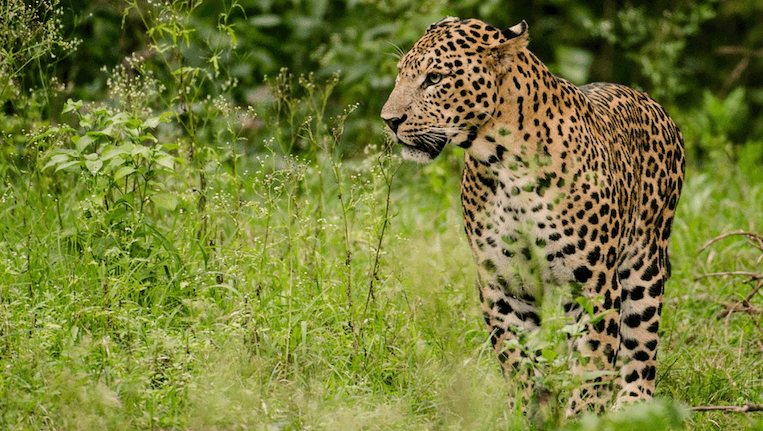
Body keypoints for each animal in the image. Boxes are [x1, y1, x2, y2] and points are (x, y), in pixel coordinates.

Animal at [381, 16, 685, 414]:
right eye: (401, 74)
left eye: (434, 78)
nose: (389, 120)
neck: (503, 163)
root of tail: (653, 103)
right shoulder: (504, 283)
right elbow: (518, 359)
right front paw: (528, 412)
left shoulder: (594, 285)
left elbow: (592, 364)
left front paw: (580, 416)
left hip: (644, 267)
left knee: (641, 350)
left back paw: (632, 407)